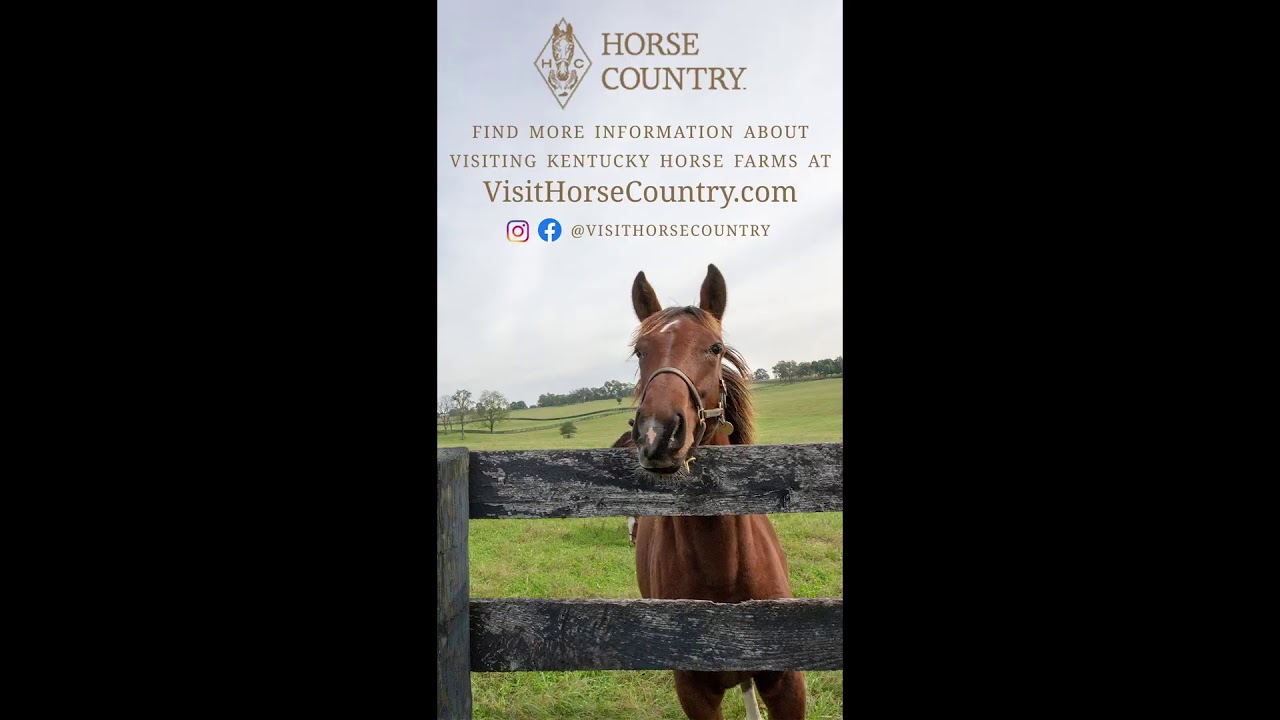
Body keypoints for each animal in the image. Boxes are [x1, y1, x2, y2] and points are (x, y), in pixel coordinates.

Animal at [611, 264, 806, 720]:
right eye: (640, 352)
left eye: (714, 348)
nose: (657, 434)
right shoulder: (694, 693)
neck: (724, 570)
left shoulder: (788, 685)